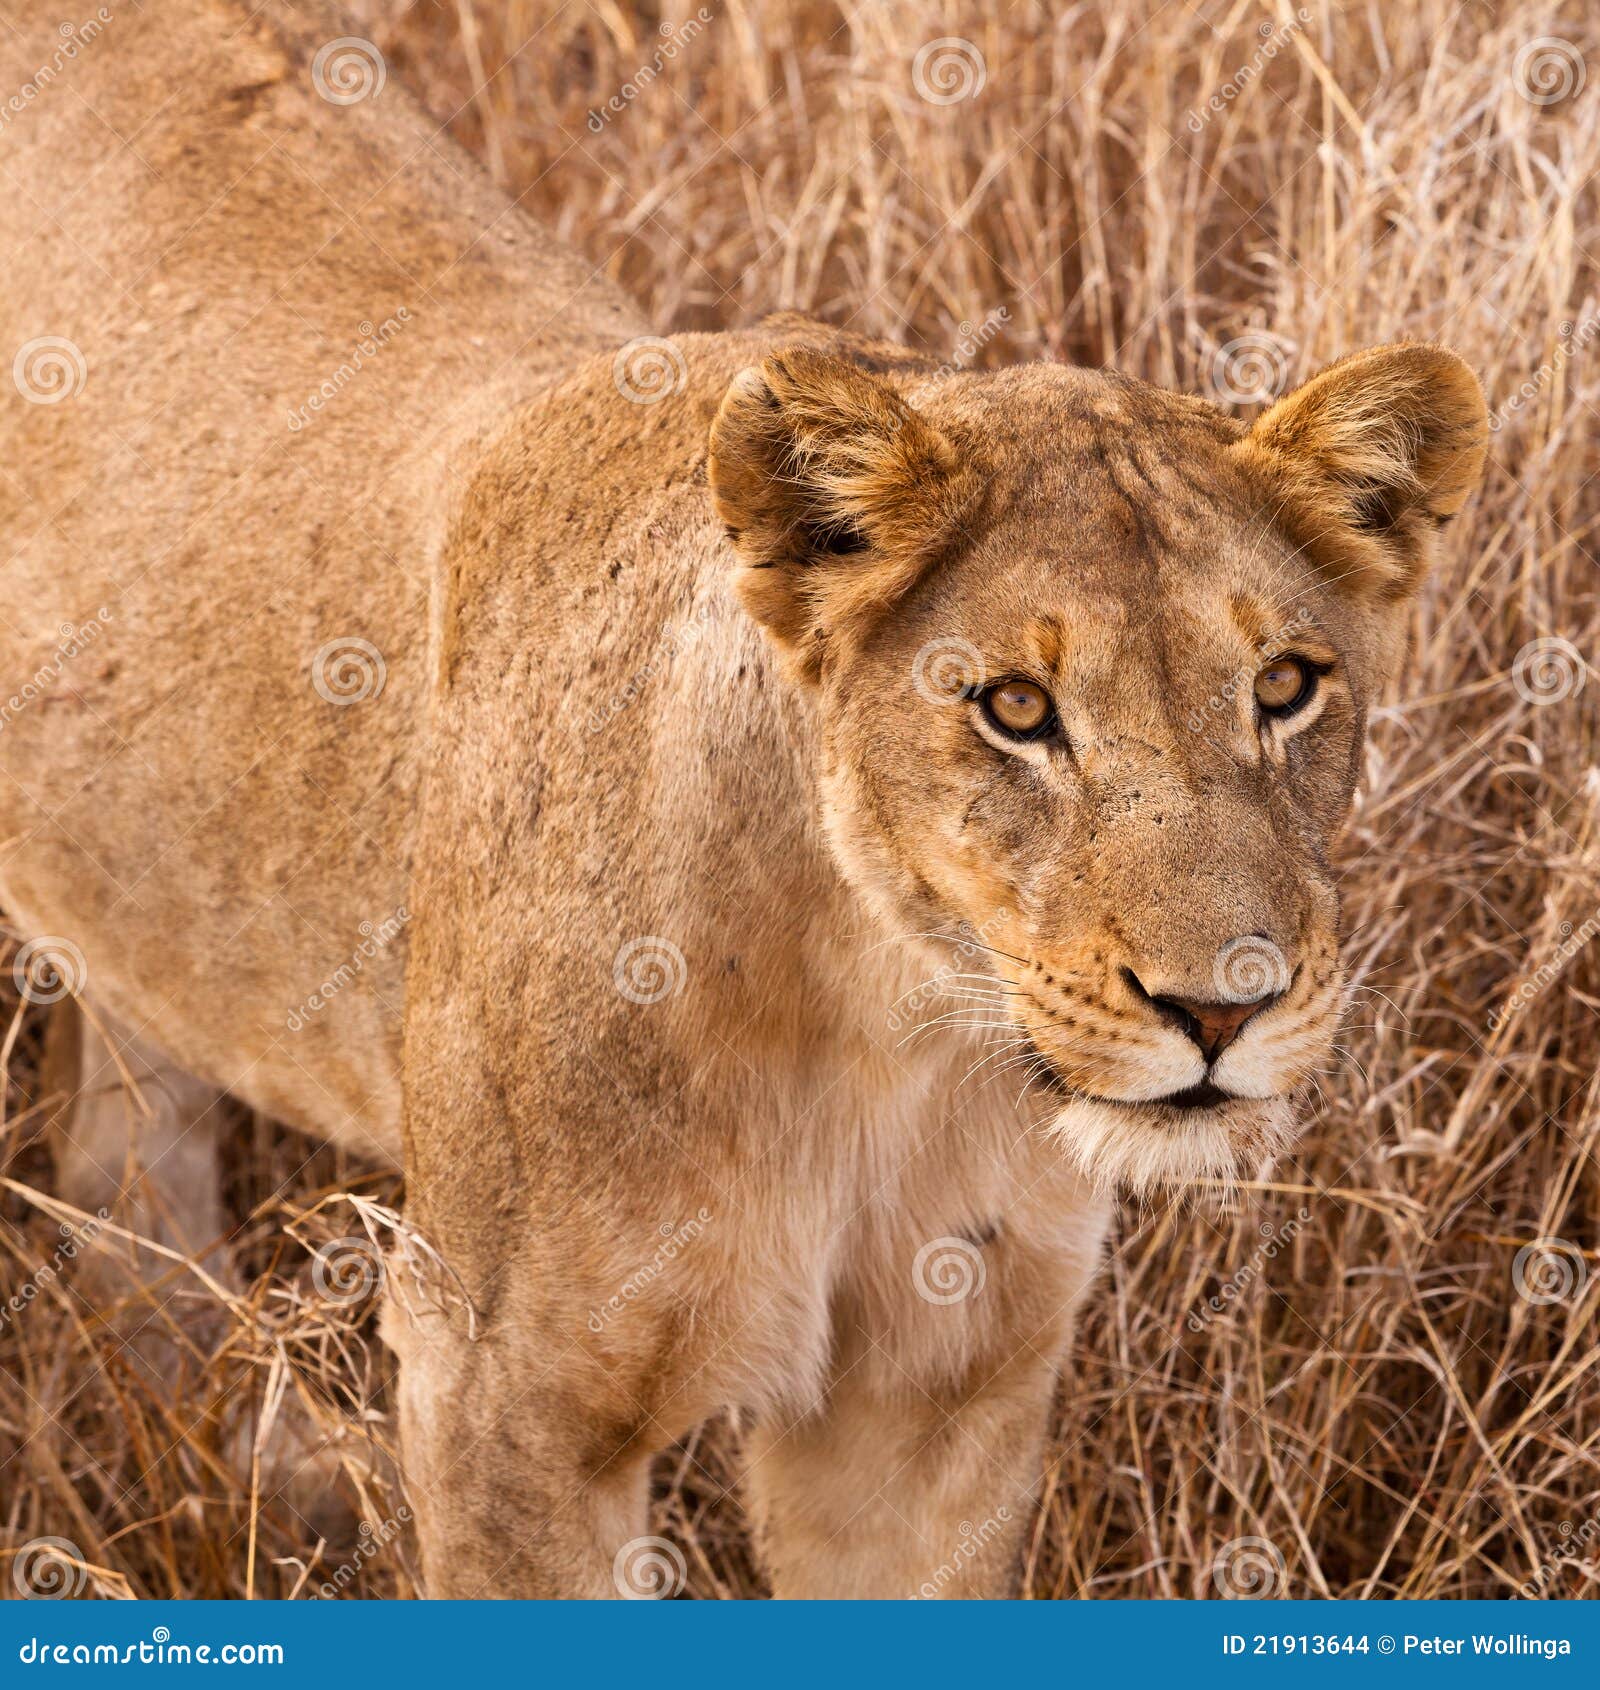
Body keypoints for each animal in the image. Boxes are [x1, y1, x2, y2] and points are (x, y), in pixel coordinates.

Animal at [0, 0, 1486, 1598]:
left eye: (1284, 685)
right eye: (1017, 710)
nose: (1225, 1008)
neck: (886, 1031)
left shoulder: (941, 1391)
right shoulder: (500, 1391)